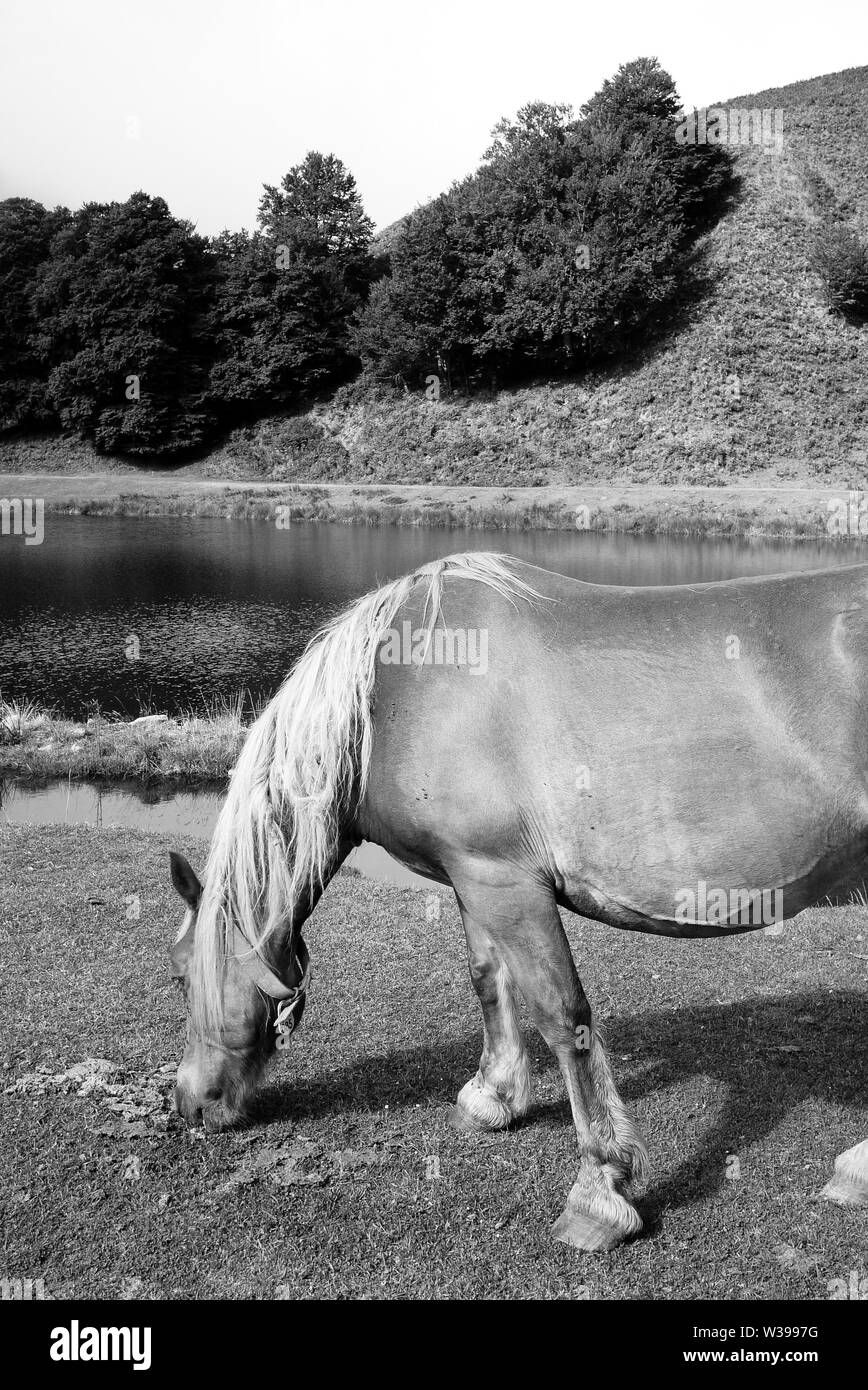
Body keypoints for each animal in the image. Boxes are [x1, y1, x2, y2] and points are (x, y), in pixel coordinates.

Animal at [168, 551, 868, 1251]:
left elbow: (563, 1016)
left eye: (179, 975)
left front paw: (600, 1192)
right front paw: (493, 1096)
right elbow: (489, 979)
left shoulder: (506, 881)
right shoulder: (472, 879)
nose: (191, 1102)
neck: (394, 693)